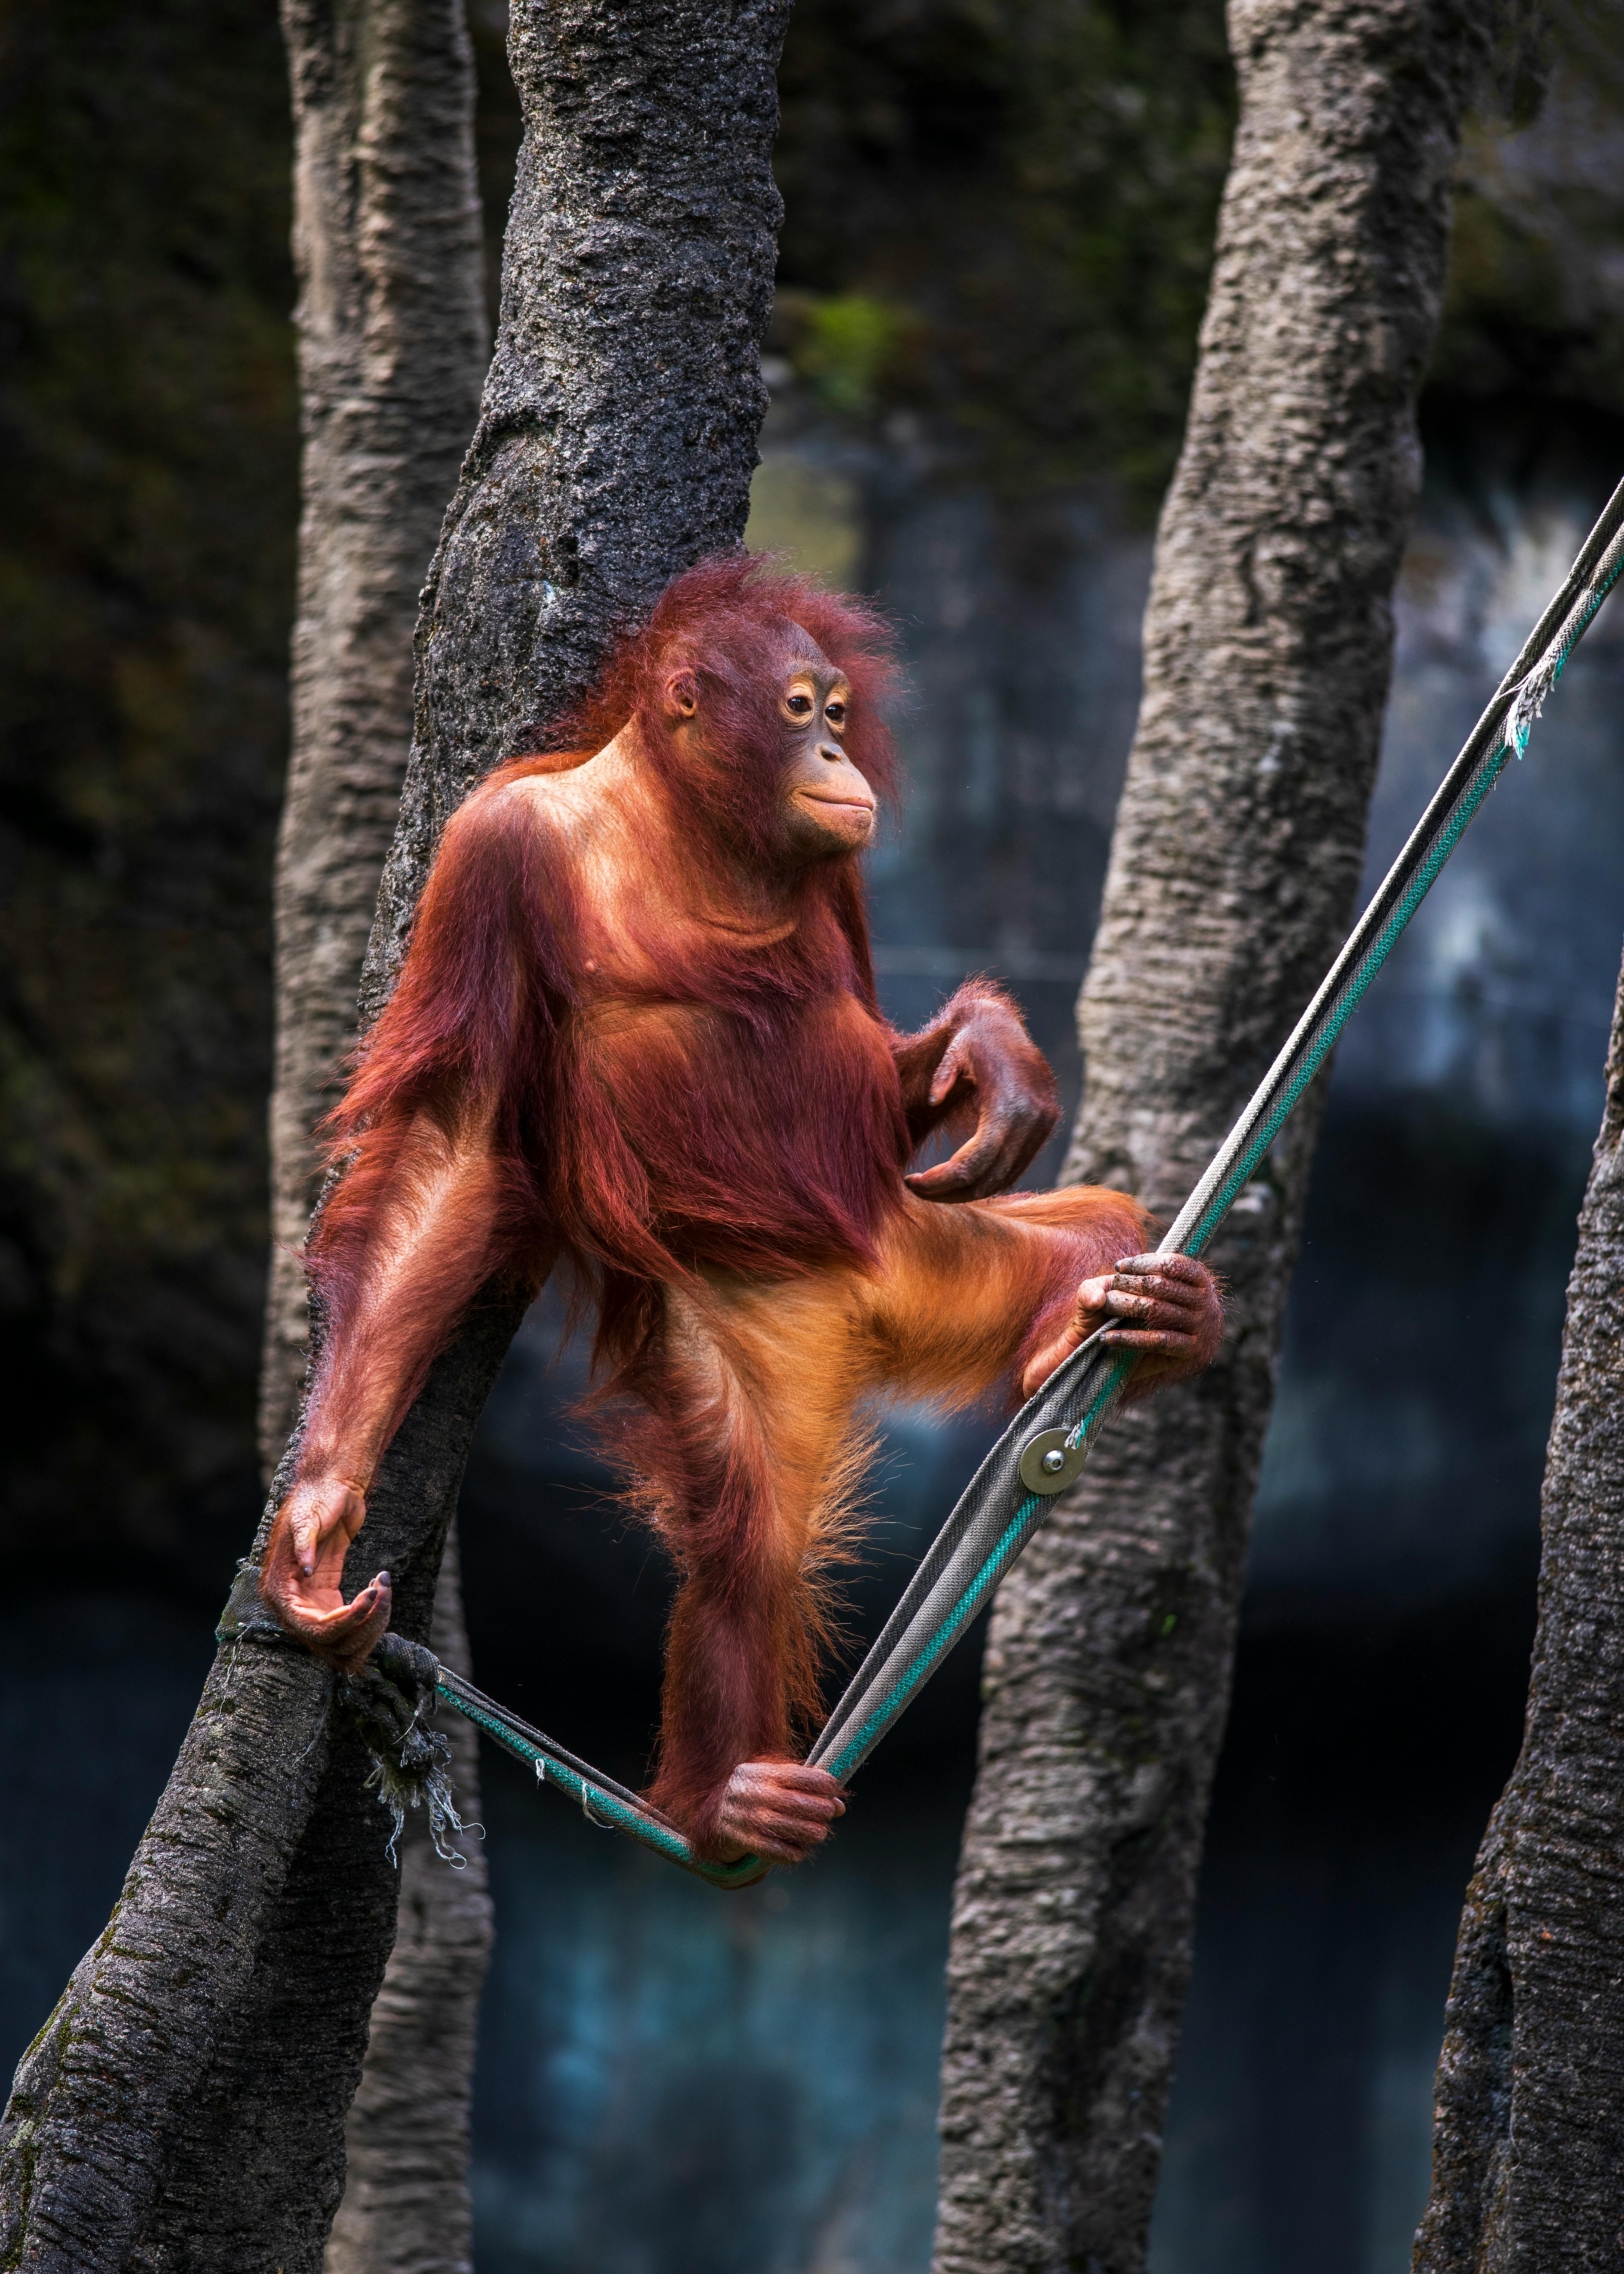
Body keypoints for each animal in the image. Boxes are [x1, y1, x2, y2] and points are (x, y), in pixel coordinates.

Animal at [263, 556, 1222, 1866]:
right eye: (797, 709)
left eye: (836, 712)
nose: (833, 754)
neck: (679, 826)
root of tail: (869, 1313)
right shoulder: (492, 853)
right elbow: (456, 1148)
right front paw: (319, 1510)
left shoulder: (840, 886)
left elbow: (878, 1073)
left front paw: (991, 1056)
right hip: (754, 1323)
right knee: (744, 1527)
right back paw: (733, 1808)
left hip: (917, 1242)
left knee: (1098, 1235)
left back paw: (1137, 1319)